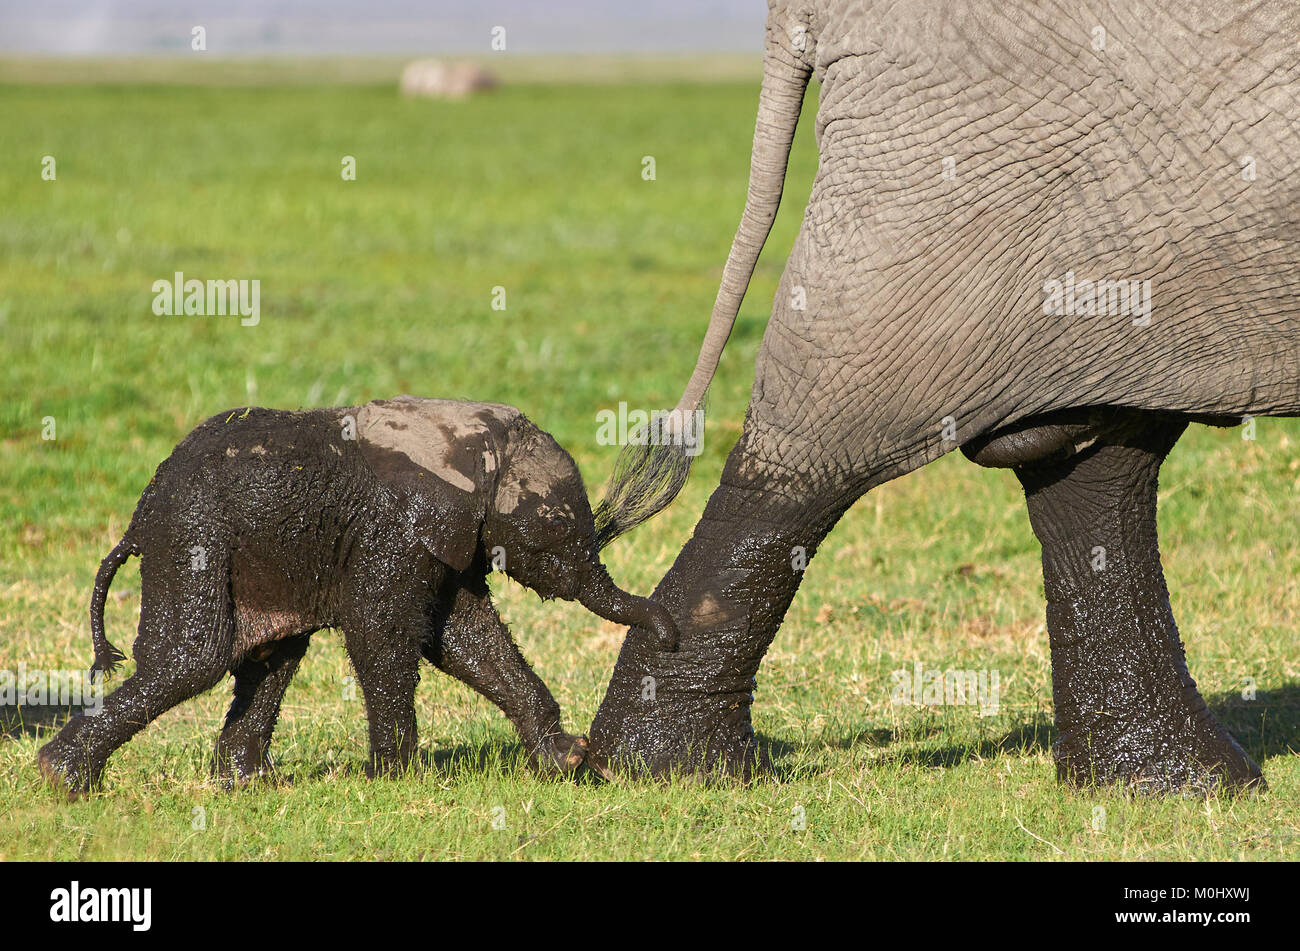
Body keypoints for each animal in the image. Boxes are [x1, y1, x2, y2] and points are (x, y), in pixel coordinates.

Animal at [37, 395, 677, 796]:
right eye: (557, 533)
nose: (670, 634)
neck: (472, 438)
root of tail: (140, 515)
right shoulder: (396, 528)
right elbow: (383, 629)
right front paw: (397, 779)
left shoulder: (447, 534)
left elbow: (463, 638)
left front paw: (566, 758)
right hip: (193, 537)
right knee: (191, 661)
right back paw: (62, 780)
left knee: (272, 658)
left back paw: (251, 786)